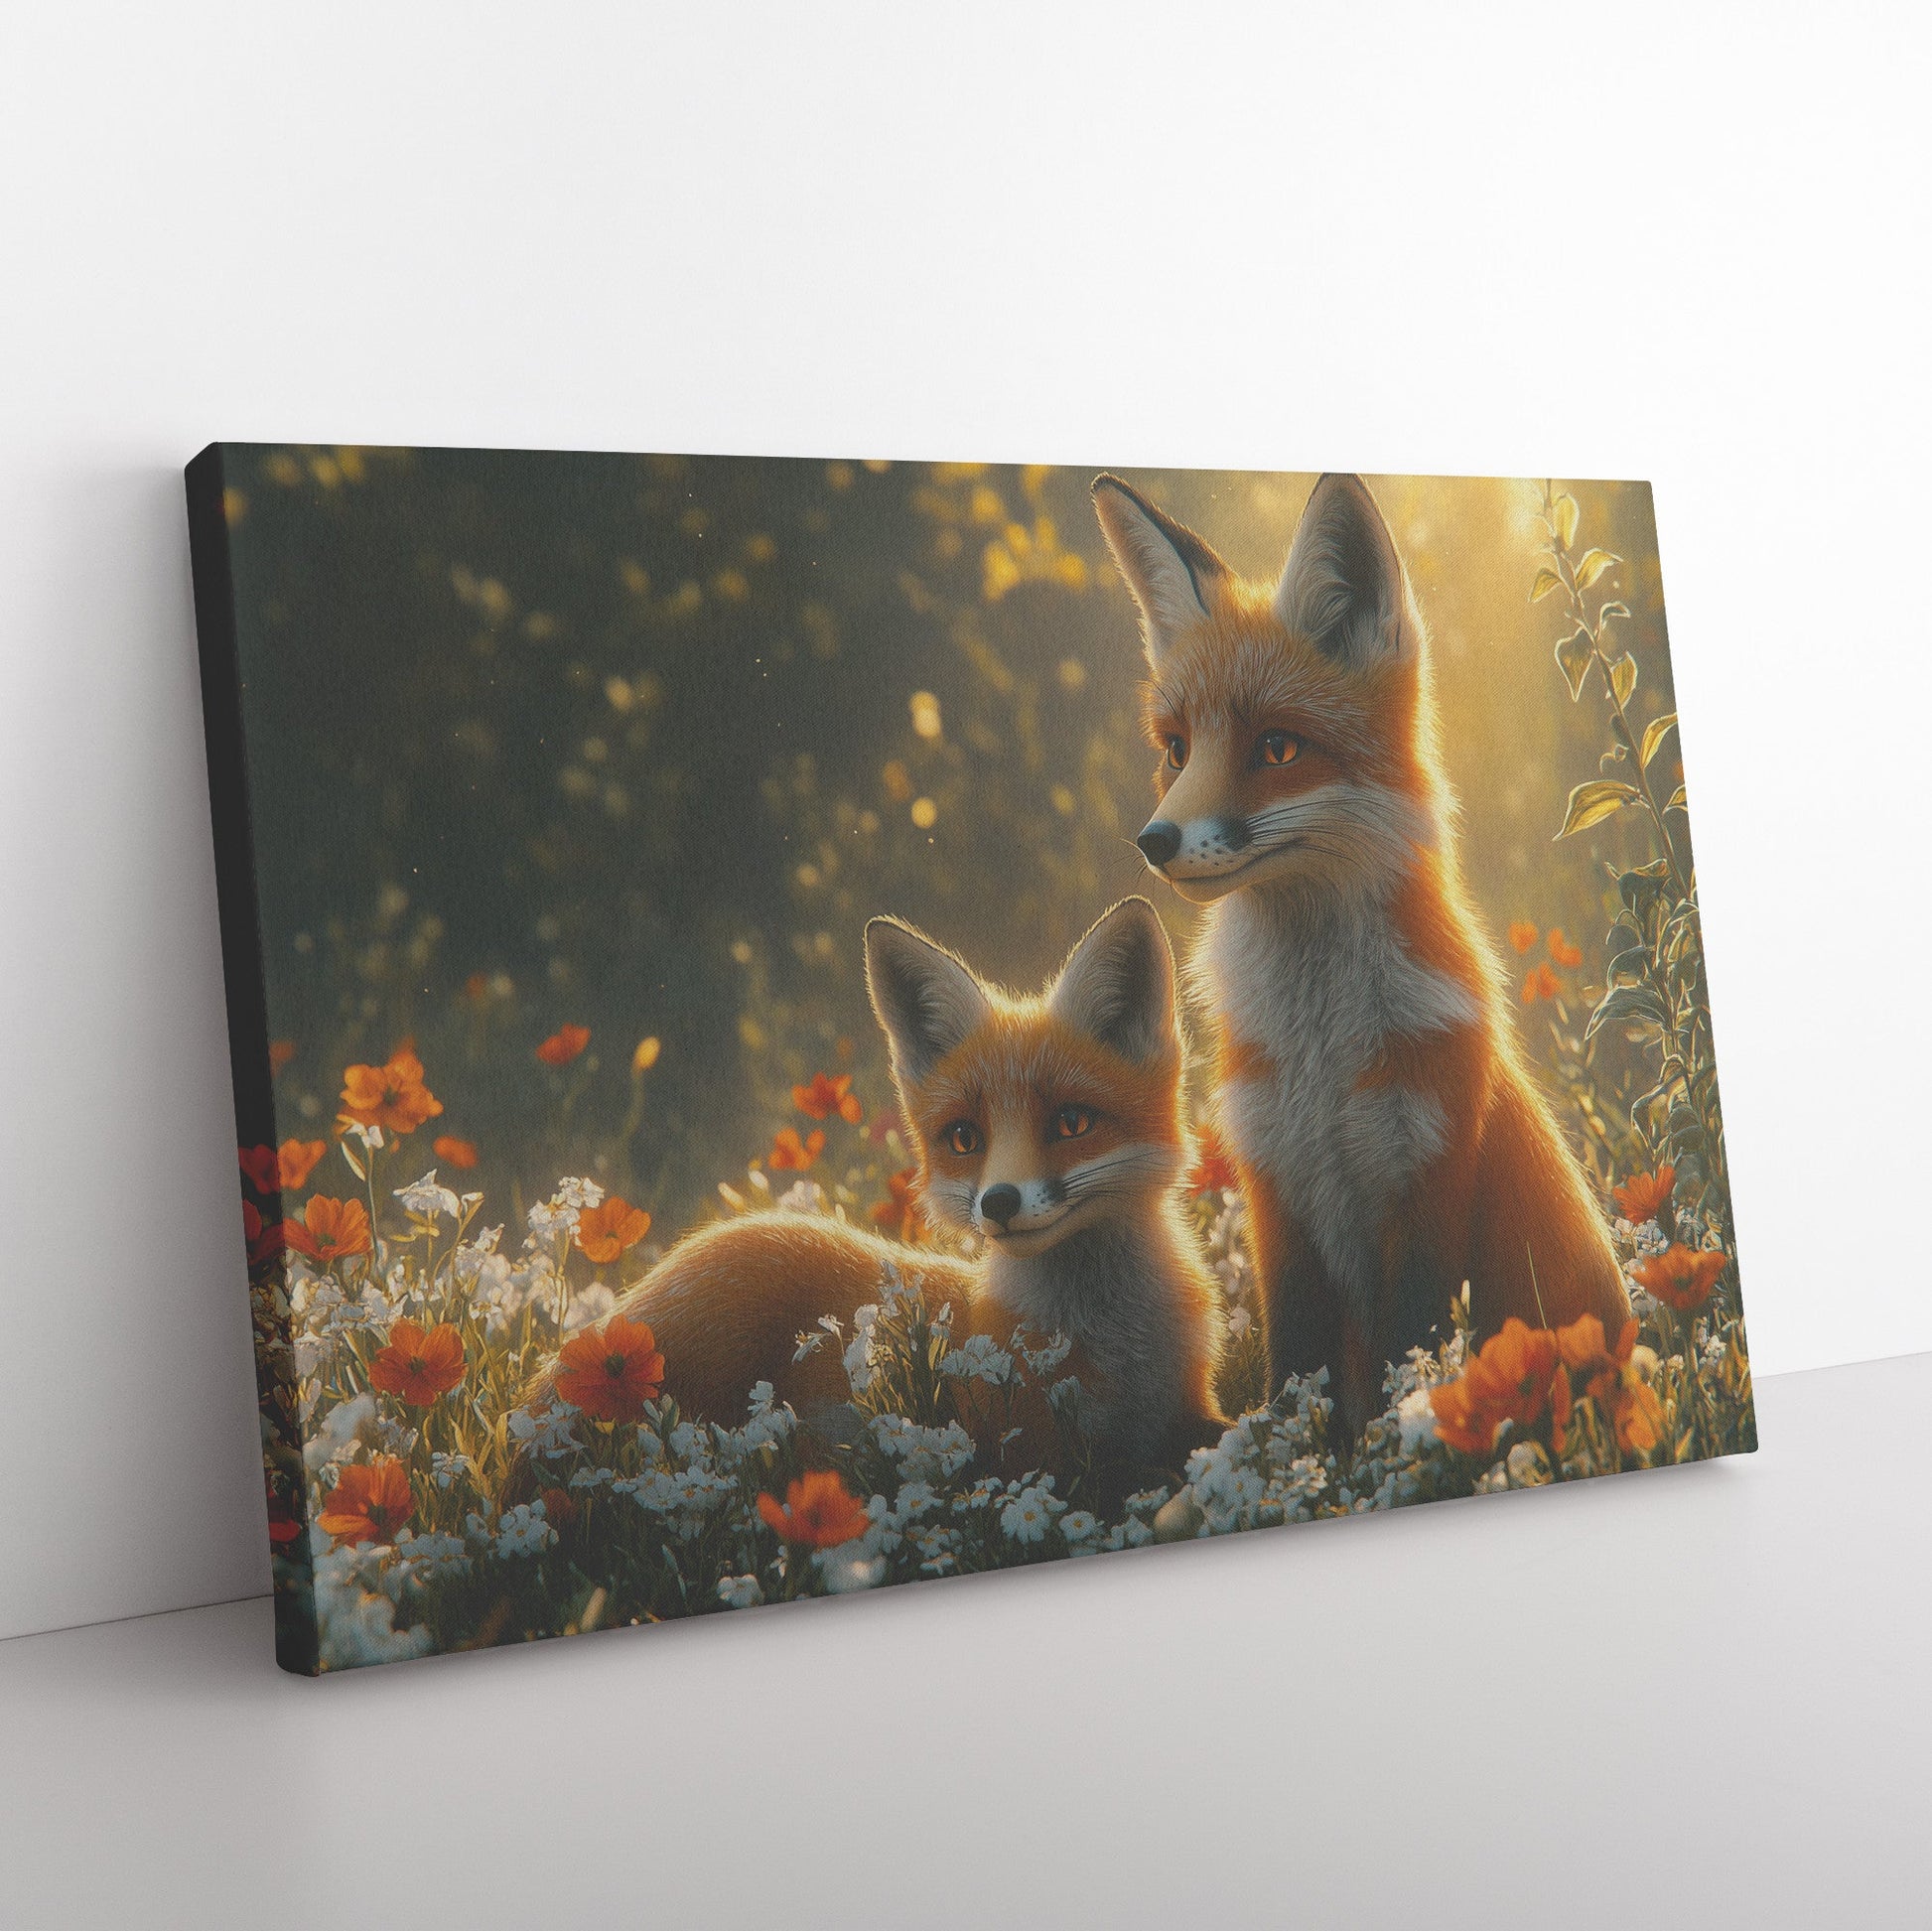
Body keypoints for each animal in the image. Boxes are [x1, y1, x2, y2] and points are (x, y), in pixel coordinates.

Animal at [526, 898, 1226, 1496]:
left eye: (1072, 1123)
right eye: (965, 1137)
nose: (997, 1203)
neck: (1116, 1343)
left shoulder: (1190, 1408)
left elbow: (1228, 1433)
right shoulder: (1038, 1453)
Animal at [1090, 471, 1631, 1437]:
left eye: (1277, 747)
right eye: (1177, 749)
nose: (1155, 841)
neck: (1320, 1054)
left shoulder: (1427, 1177)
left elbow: (1407, 1354)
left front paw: (1403, 1444)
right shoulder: (1273, 1190)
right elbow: (1296, 1368)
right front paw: (1290, 1453)